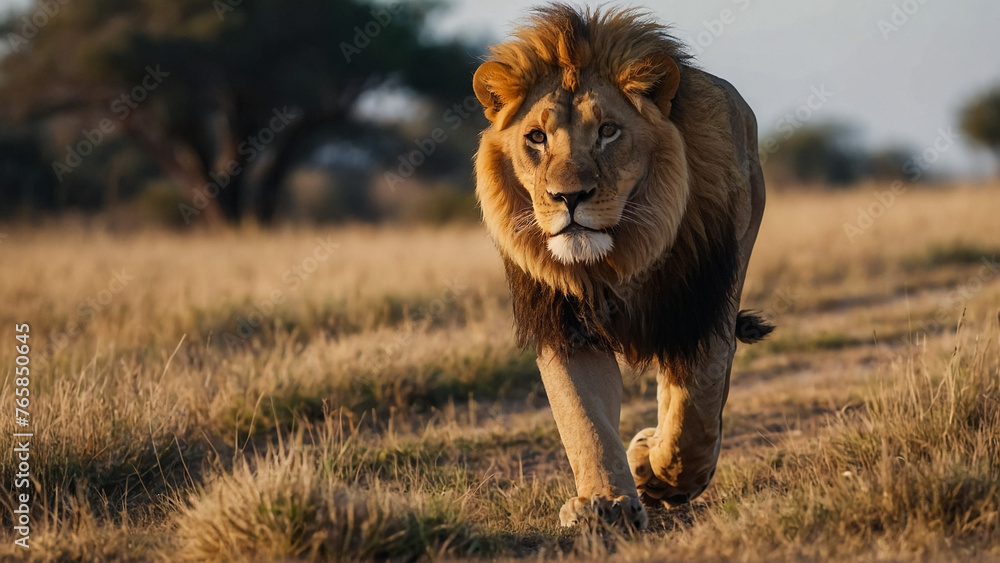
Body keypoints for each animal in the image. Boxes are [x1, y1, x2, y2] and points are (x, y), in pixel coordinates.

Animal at [472, 5, 772, 529]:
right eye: (536, 138)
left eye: (608, 131)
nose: (568, 197)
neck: (617, 258)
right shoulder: (565, 322)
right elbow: (583, 415)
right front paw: (603, 501)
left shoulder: (702, 308)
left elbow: (695, 407)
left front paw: (666, 475)